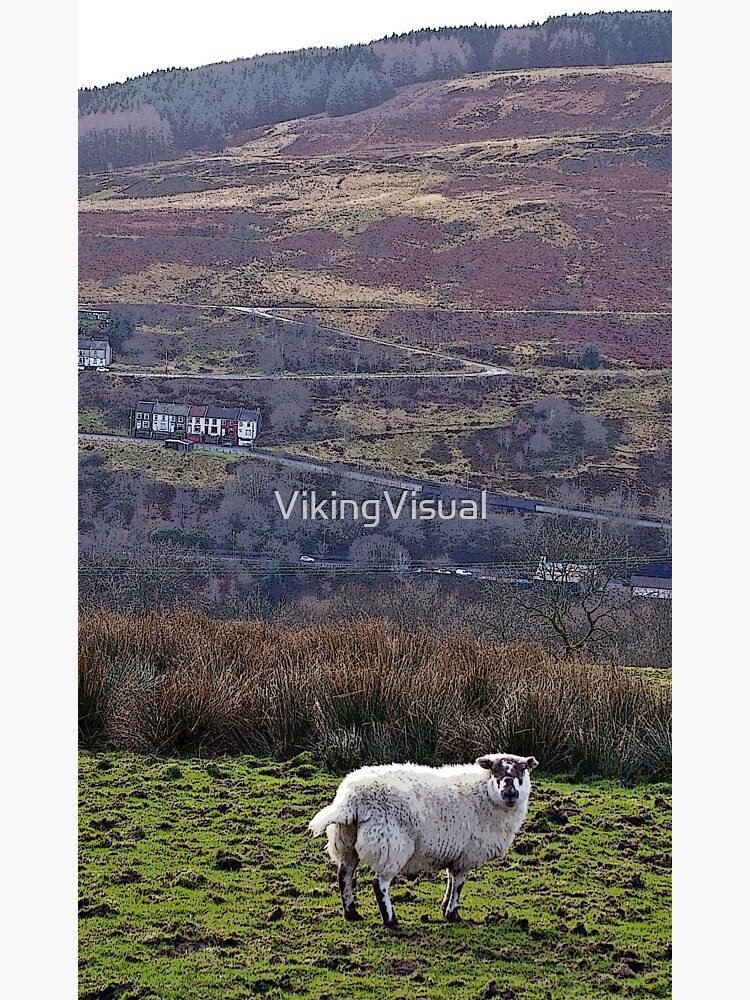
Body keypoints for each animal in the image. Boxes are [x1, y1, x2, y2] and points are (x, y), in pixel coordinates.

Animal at [309, 752, 539, 927]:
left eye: (522, 771)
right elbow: (459, 884)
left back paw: (352, 913)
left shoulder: (456, 853)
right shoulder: (467, 855)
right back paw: (391, 921)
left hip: (346, 842)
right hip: (392, 844)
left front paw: (444, 907)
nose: (510, 793)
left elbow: (450, 881)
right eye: (495, 771)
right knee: (379, 883)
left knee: (344, 876)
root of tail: (352, 799)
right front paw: (453, 914)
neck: (485, 795)